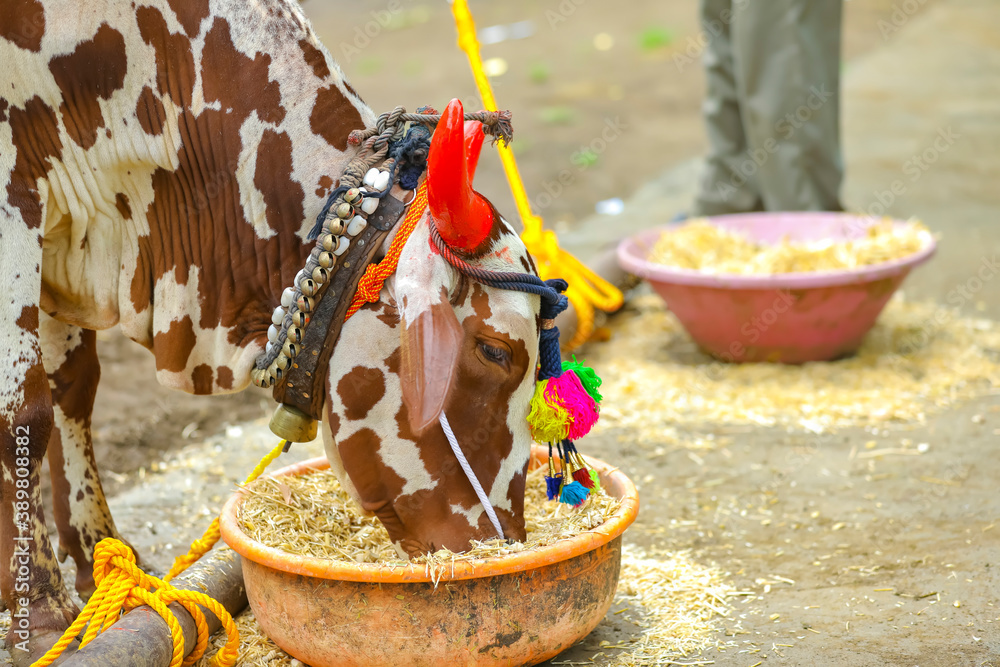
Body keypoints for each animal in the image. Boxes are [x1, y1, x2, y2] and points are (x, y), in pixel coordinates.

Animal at [0, 0, 543, 659]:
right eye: (495, 351)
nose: (504, 539)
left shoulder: (59, 227)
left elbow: (72, 389)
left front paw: (101, 561)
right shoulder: (15, 206)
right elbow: (25, 416)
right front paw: (43, 614)